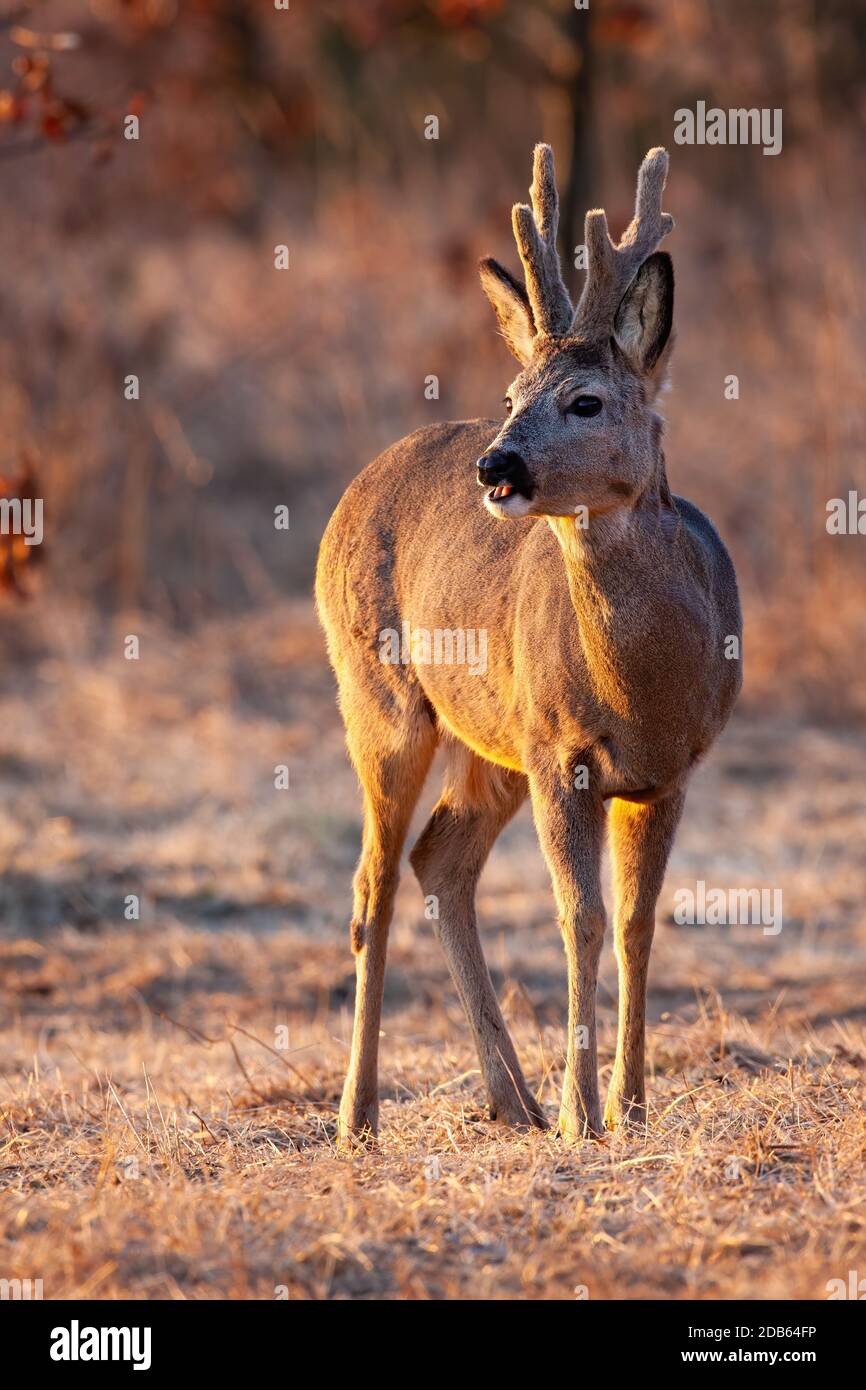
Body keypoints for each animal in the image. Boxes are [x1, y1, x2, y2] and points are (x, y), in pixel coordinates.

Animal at [316, 145, 741, 1145]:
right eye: (512, 397)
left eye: (586, 400)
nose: (497, 465)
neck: (641, 685)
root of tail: (357, 486)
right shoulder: (561, 752)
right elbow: (577, 918)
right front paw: (587, 1116)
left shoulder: (669, 768)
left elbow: (635, 923)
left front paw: (627, 1107)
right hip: (381, 698)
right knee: (371, 887)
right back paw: (359, 1115)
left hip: (491, 740)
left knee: (440, 861)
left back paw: (513, 1099)